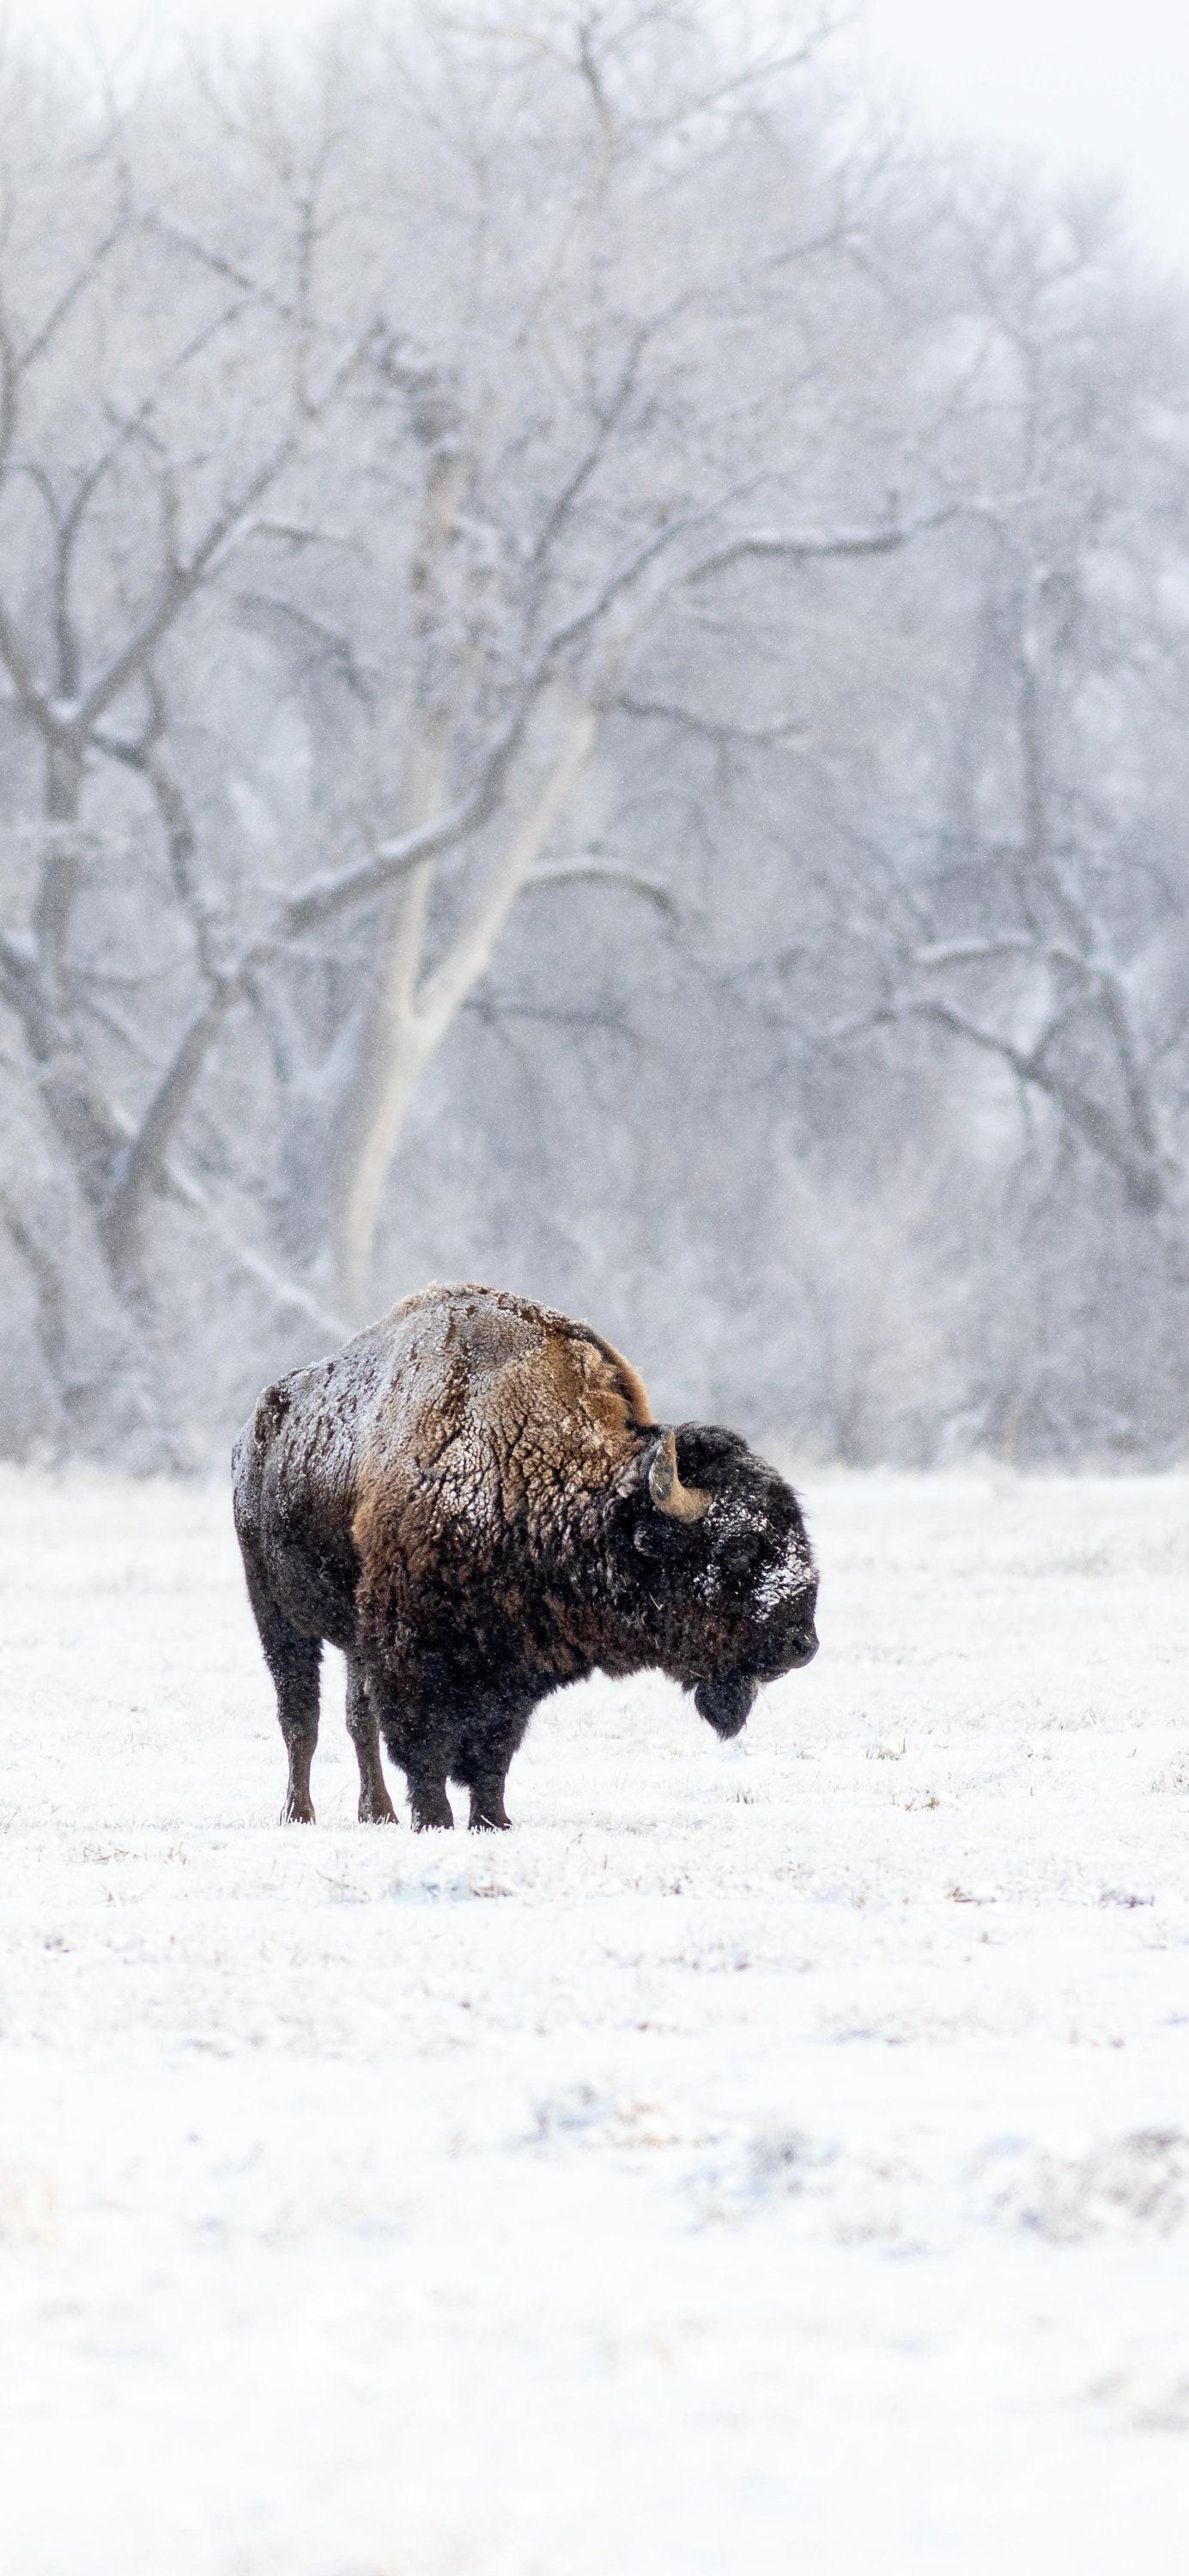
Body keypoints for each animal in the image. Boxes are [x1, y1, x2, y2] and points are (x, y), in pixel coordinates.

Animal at [233, 1283, 818, 1828]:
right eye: (738, 1549)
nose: (803, 1644)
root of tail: (253, 1434)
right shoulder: (410, 1655)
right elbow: (424, 1753)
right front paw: (436, 1822)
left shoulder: (508, 1674)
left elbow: (492, 1756)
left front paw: (492, 1821)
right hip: (276, 1616)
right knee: (300, 1717)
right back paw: (299, 1813)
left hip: (353, 1637)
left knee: (358, 1721)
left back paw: (377, 1814)